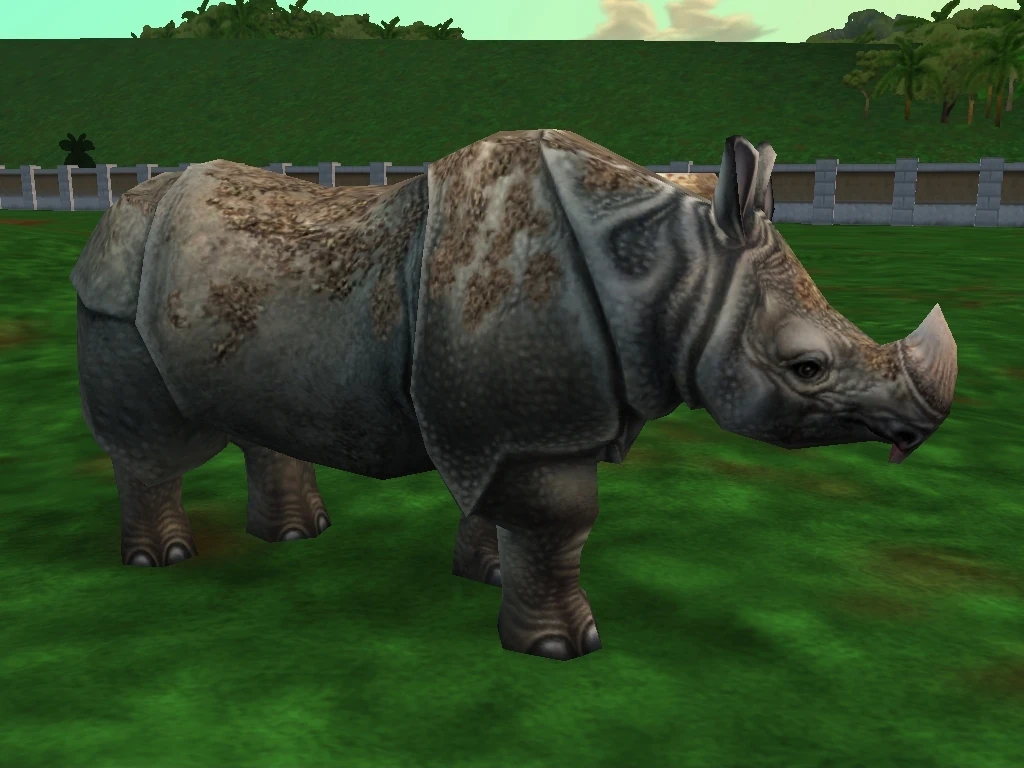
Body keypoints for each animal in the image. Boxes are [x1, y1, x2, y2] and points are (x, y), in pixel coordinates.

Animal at [71, 129, 957, 660]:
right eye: (807, 368)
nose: (917, 429)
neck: (664, 272)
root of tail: (115, 209)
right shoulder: (531, 423)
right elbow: (560, 522)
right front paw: (563, 646)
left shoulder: (500, 418)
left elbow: (507, 514)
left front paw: (489, 576)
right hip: (115, 290)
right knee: (156, 447)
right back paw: (163, 560)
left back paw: (295, 539)